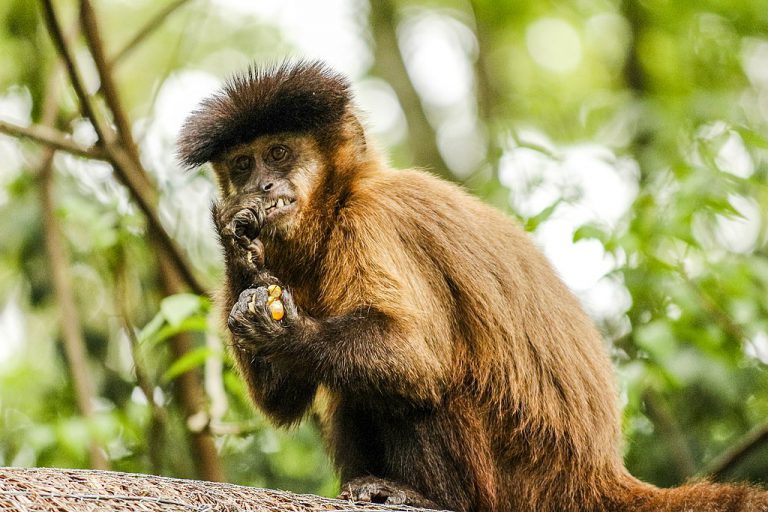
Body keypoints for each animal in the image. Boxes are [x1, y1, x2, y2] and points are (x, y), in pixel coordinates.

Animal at [177, 61, 768, 512]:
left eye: (278, 153)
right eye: (242, 164)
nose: (261, 185)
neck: (340, 201)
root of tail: (597, 478)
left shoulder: (374, 221)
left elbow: (418, 355)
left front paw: (285, 332)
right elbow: (284, 399)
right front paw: (236, 244)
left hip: (523, 481)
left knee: (429, 382)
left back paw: (433, 497)